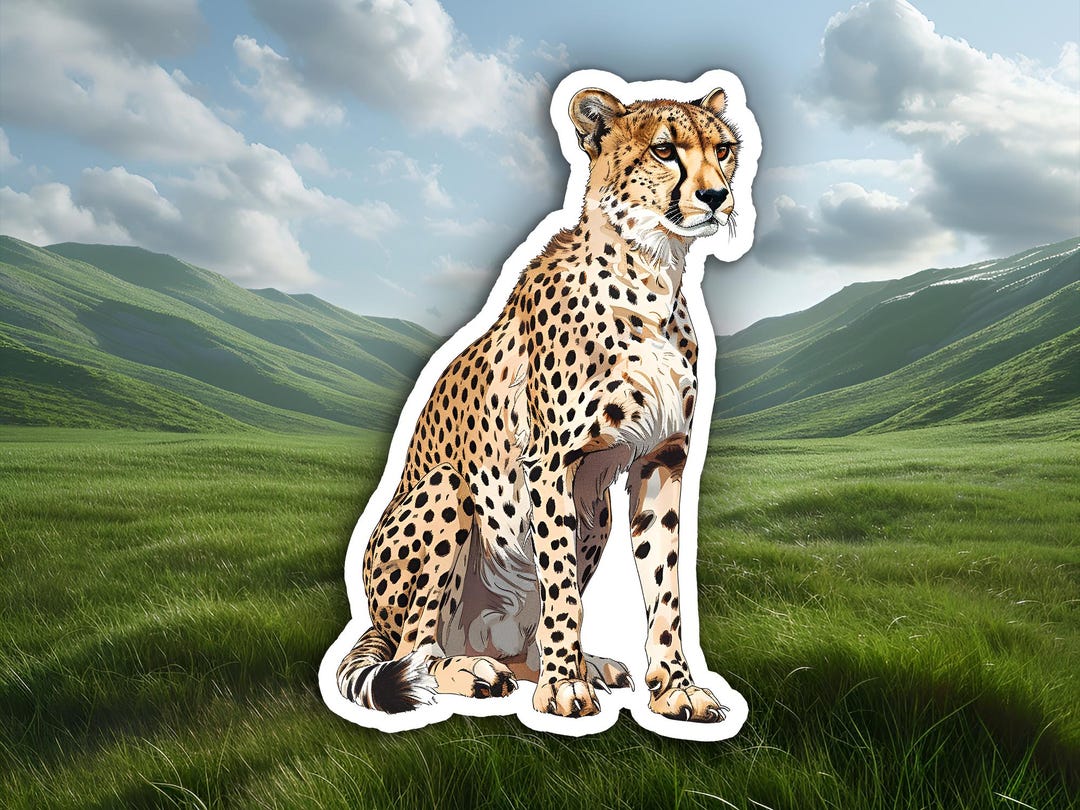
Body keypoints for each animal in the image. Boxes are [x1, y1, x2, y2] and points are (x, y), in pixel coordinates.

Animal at [334, 82, 742, 724]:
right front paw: (562, 688)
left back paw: (576, 664)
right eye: (663, 150)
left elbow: (666, 584)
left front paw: (674, 689)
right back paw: (474, 672)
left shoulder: (662, 460)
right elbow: (561, 585)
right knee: (414, 647)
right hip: (446, 490)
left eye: (723, 150)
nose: (716, 196)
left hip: (597, 510)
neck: (653, 273)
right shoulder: (553, 462)